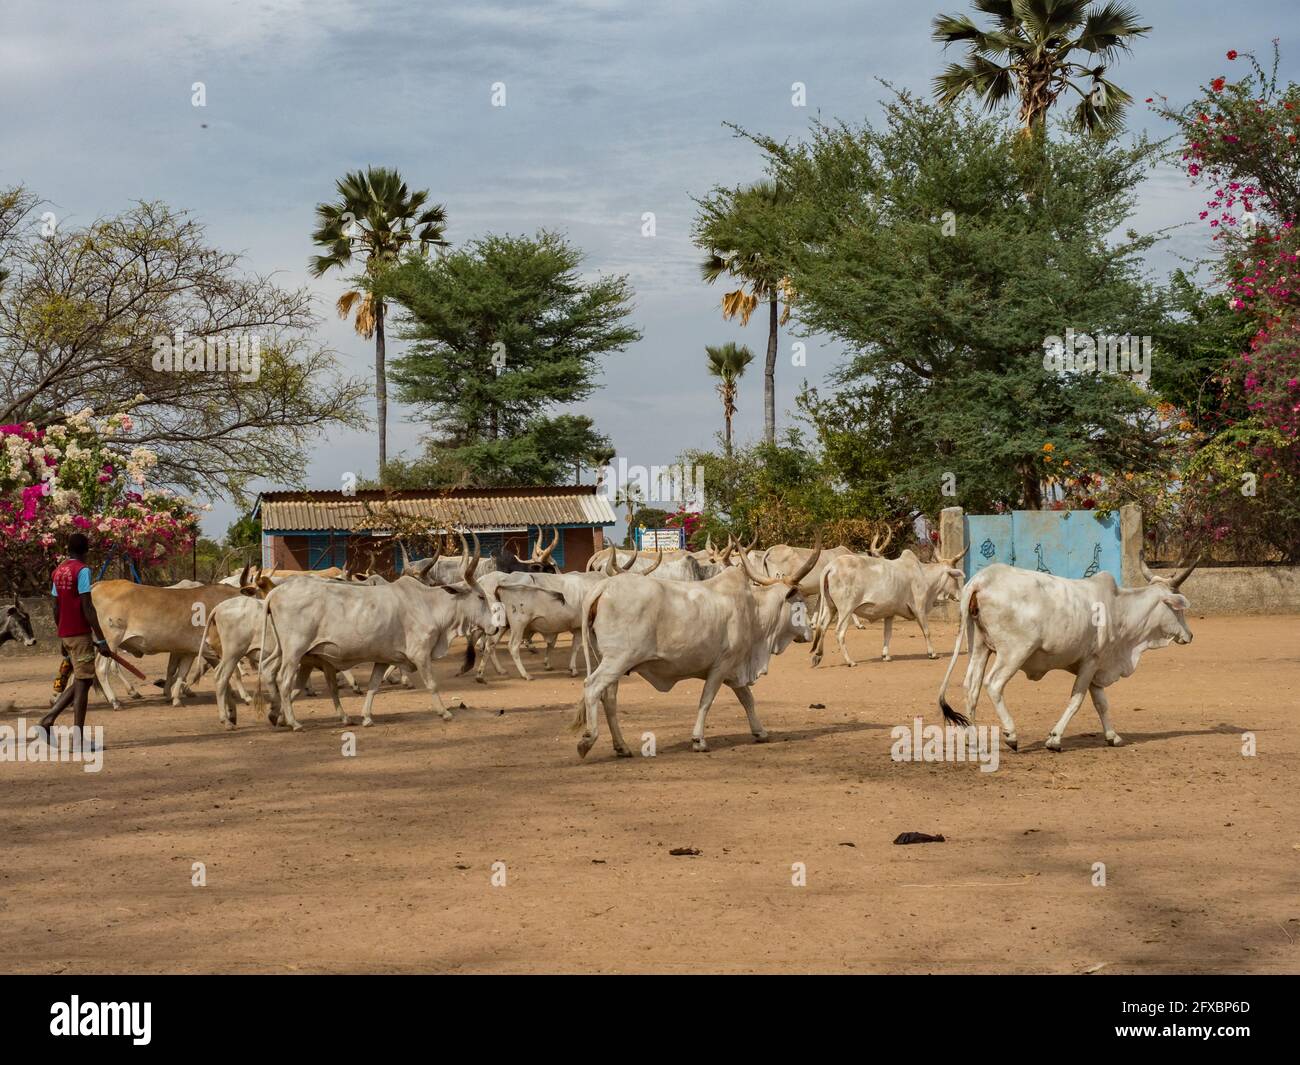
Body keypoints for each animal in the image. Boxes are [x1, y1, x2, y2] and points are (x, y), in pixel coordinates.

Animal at [253, 533, 506, 730]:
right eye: (480, 596)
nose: (494, 627)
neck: (428, 604)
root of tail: (274, 593)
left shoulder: (384, 659)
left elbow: (373, 686)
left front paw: (366, 717)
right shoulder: (421, 655)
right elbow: (432, 684)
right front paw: (445, 713)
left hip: (284, 651)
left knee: (269, 671)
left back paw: (277, 714)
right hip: (294, 652)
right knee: (284, 680)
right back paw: (294, 722)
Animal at [570, 539, 822, 759]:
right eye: (799, 601)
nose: (809, 632)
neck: (754, 611)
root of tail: (604, 586)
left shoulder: (734, 669)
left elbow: (747, 699)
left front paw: (760, 731)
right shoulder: (721, 665)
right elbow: (706, 700)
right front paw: (699, 740)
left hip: (611, 662)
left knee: (609, 698)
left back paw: (621, 746)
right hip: (618, 660)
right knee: (592, 687)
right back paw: (588, 740)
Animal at [810, 545, 968, 666]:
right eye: (955, 578)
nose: (960, 595)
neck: (924, 575)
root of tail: (831, 566)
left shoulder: (889, 613)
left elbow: (887, 634)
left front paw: (885, 655)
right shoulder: (920, 609)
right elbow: (927, 631)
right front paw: (932, 653)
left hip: (830, 607)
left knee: (822, 627)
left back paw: (817, 655)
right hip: (846, 610)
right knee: (839, 632)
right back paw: (850, 661)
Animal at [936, 555, 1201, 752]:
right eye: (1179, 610)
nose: (1189, 635)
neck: (1119, 608)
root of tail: (982, 580)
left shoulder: (1096, 667)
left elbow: (1101, 703)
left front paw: (1113, 736)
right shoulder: (1091, 661)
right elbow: (1077, 700)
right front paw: (1054, 739)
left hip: (980, 647)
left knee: (971, 687)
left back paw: (972, 739)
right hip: (1014, 652)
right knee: (993, 684)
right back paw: (1011, 735)